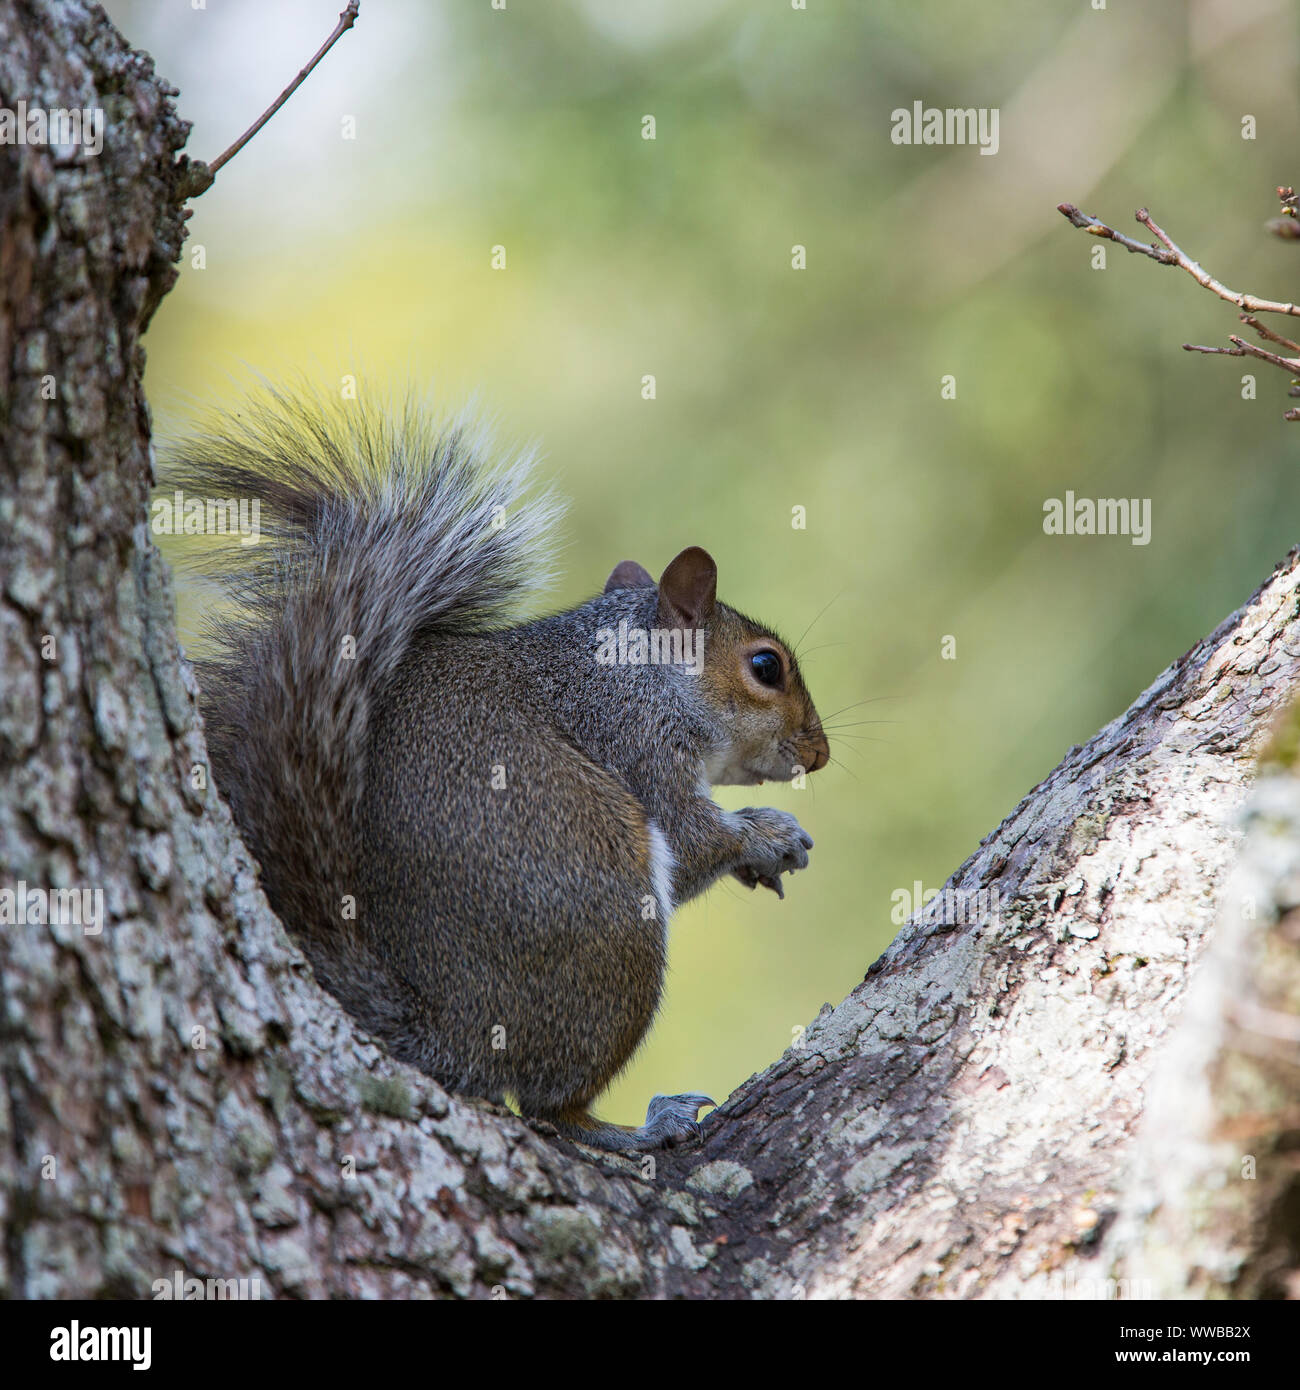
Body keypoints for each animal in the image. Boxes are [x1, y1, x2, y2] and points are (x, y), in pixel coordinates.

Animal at [171, 387, 830, 1150]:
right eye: (765, 667)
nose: (820, 753)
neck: (640, 675)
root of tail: (443, 1028)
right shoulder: (633, 742)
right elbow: (694, 838)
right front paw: (768, 836)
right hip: (610, 923)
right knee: (551, 1106)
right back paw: (636, 1128)